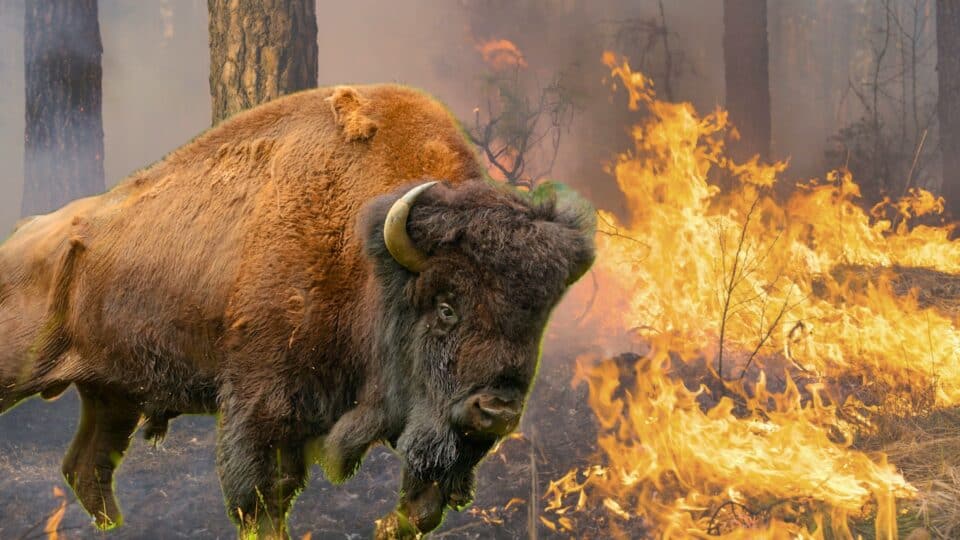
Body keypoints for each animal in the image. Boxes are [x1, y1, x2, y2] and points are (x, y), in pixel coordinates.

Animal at [0, 84, 595, 538]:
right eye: (446, 308)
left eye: (536, 319)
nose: (497, 410)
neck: (367, 255)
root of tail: (22, 238)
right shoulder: (264, 407)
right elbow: (262, 500)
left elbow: (420, 508)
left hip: (111, 394)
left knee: (87, 467)